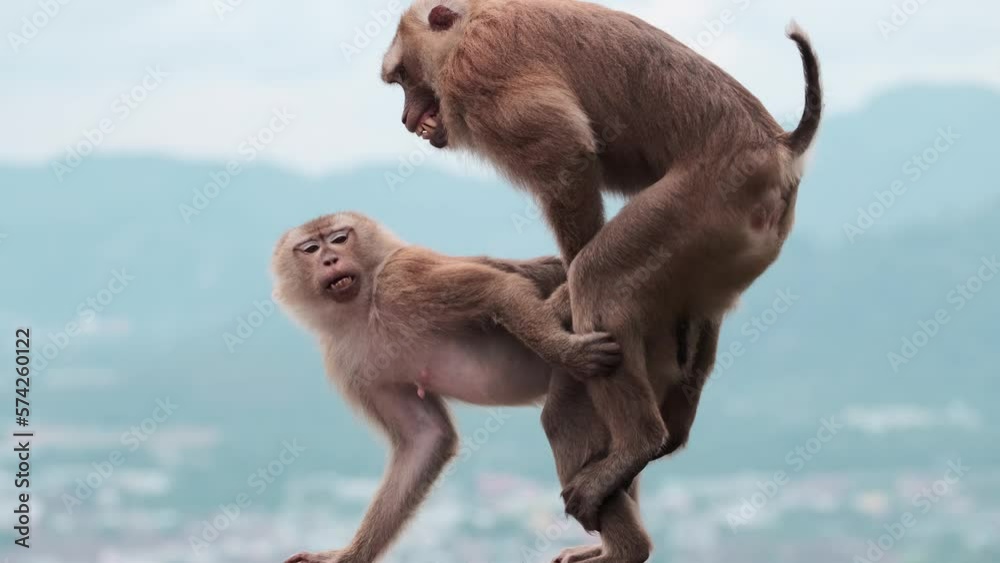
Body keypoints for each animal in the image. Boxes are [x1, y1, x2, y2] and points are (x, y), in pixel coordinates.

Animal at [273, 212, 629, 563]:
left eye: (339, 239)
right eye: (310, 248)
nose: (330, 259)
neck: (364, 308)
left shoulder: (401, 278)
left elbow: (499, 289)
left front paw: (565, 350)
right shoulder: (351, 365)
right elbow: (424, 438)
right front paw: (347, 556)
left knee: (561, 414)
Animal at [382, 0, 823, 539]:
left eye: (405, 77)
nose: (407, 119)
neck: (468, 26)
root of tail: (779, 148)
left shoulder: (481, 71)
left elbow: (566, 156)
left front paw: (564, 297)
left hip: (707, 203)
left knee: (601, 278)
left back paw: (638, 443)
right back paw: (671, 429)